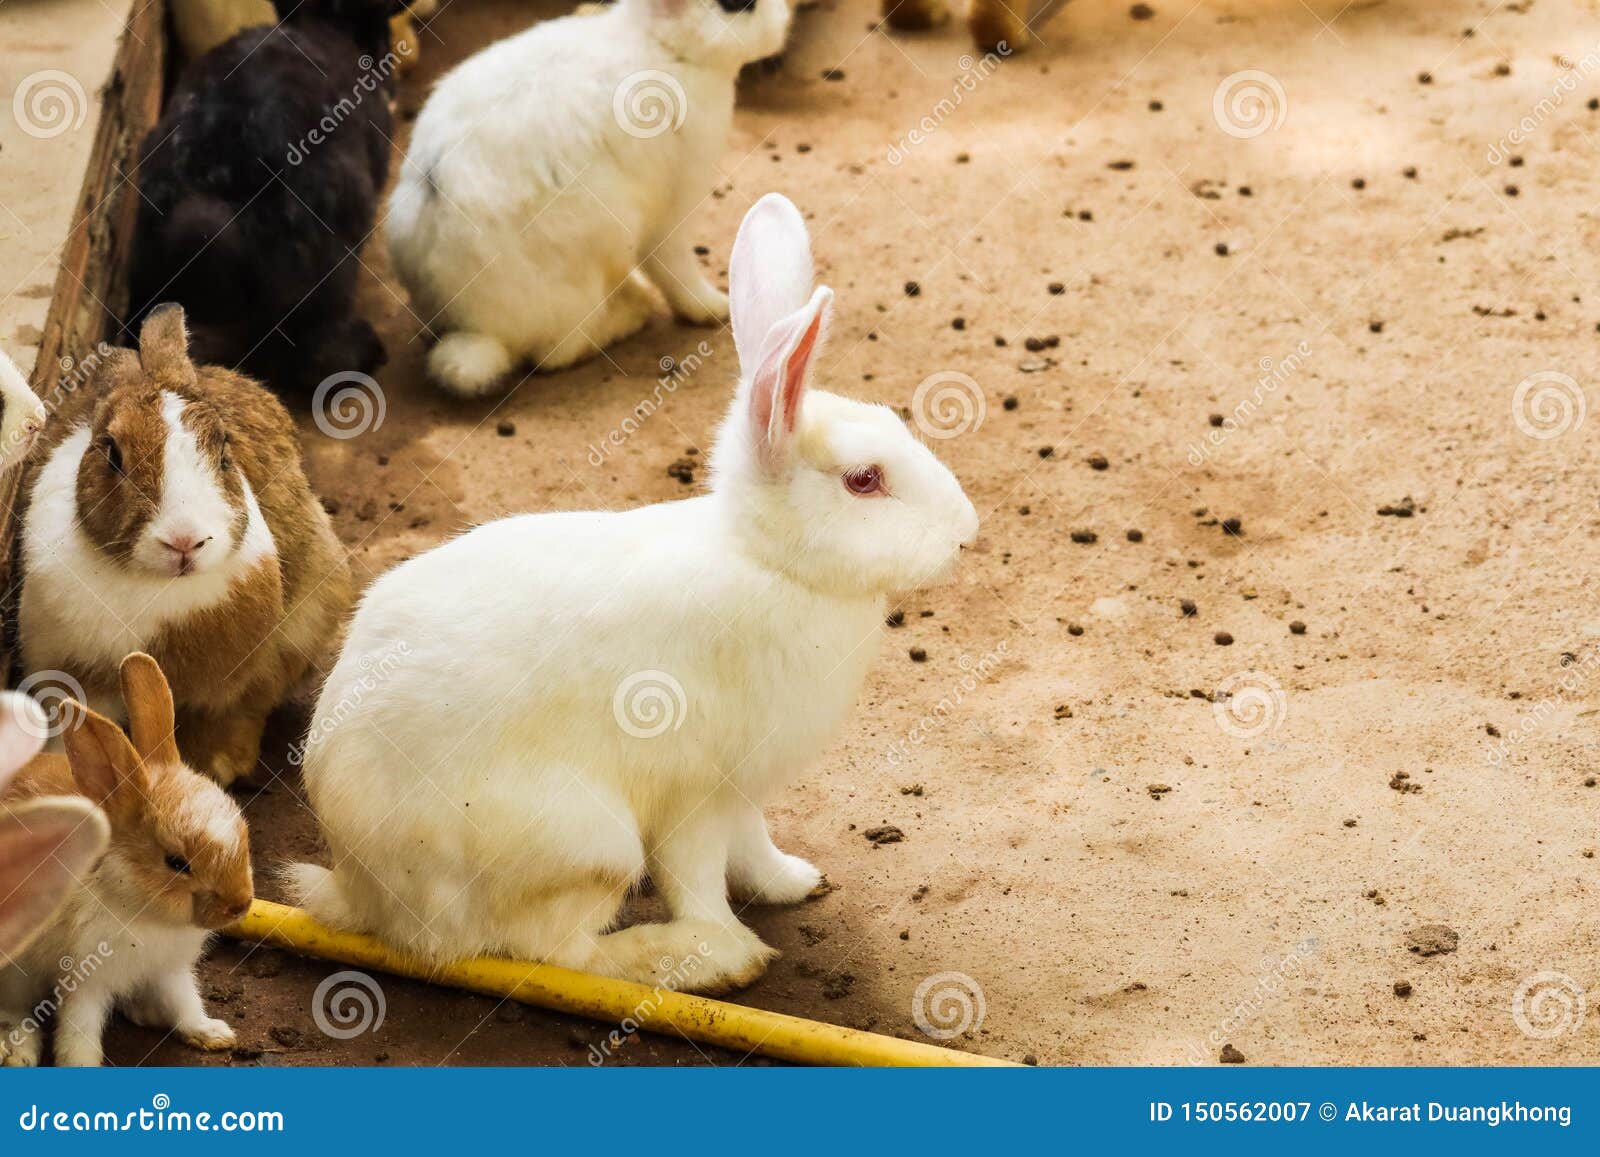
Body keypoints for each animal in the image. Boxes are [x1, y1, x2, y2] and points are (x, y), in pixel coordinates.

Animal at [15, 304, 352, 787]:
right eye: (113, 455)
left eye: (225, 452)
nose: (185, 540)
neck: (150, 586)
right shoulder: (74, 675)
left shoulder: (223, 686)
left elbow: (218, 720)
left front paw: (212, 768)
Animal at [291, 193, 979, 992]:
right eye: (864, 480)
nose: (966, 531)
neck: (767, 562)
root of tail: (363, 891)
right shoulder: (695, 793)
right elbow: (699, 875)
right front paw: (730, 938)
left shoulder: (744, 788)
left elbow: (754, 844)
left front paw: (794, 881)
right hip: (590, 839)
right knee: (556, 951)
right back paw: (698, 958)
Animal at [386, 0, 795, 396]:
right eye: (739, 6)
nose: (783, 21)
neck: (666, 47)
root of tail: (475, 328)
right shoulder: (673, 207)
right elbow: (676, 269)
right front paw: (715, 308)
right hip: (593, 251)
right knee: (554, 355)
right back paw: (629, 314)